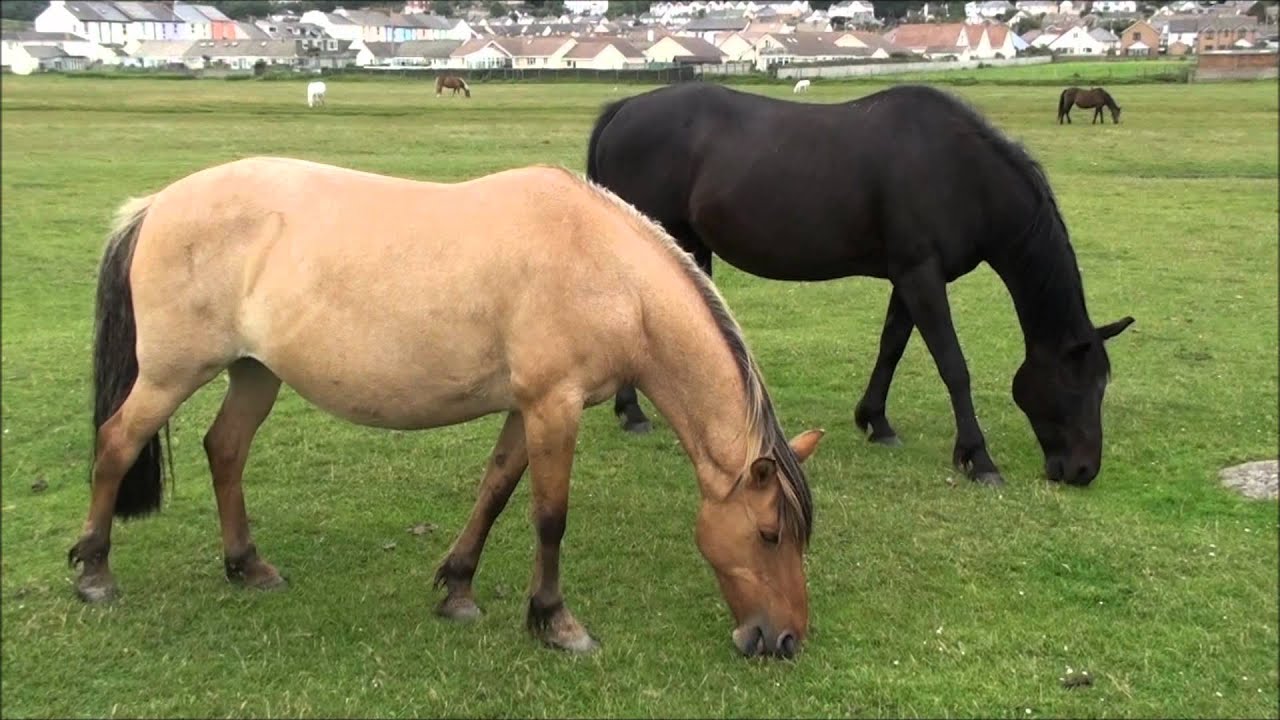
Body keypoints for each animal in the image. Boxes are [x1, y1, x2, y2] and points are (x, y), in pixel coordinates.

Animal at [68, 157, 824, 659]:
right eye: (768, 535)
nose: (785, 639)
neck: (607, 271)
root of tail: (158, 203)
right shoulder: (555, 407)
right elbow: (549, 518)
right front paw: (555, 620)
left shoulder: (528, 408)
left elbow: (495, 490)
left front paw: (458, 589)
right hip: (171, 374)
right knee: (116, 444)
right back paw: (96, 574)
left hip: (255, 374)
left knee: (224, 448)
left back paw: (246, 566)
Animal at [587, 83, 1134, 487]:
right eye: (1079, 385)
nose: (1084, 470)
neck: (960, 171)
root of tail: (623, 110)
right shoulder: (921, 275)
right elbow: (953, 365)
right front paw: (978, 458)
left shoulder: (910, 276)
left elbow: (891, 346)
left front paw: (876, 421)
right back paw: (632, 412)